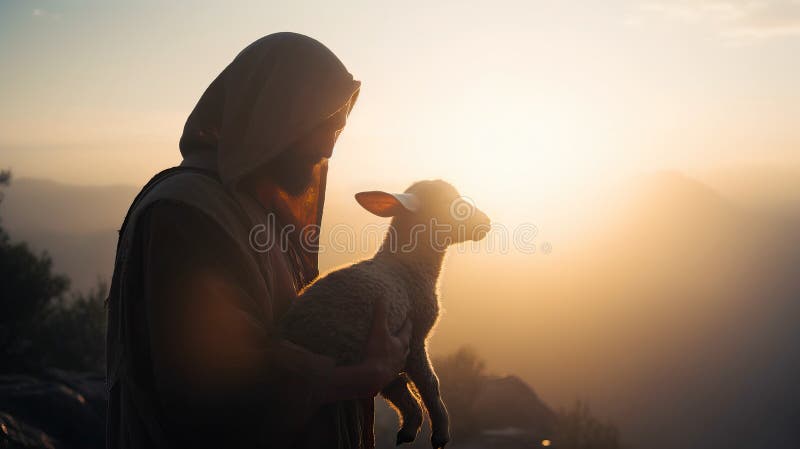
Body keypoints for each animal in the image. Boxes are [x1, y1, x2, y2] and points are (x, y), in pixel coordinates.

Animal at [280, 179, 491, 449]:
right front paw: (440, 433)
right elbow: (429, 384)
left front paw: (409, 428)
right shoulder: (412, 338)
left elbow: (397, 388)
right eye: (448, 201)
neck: (406, 266)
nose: (486, 221)